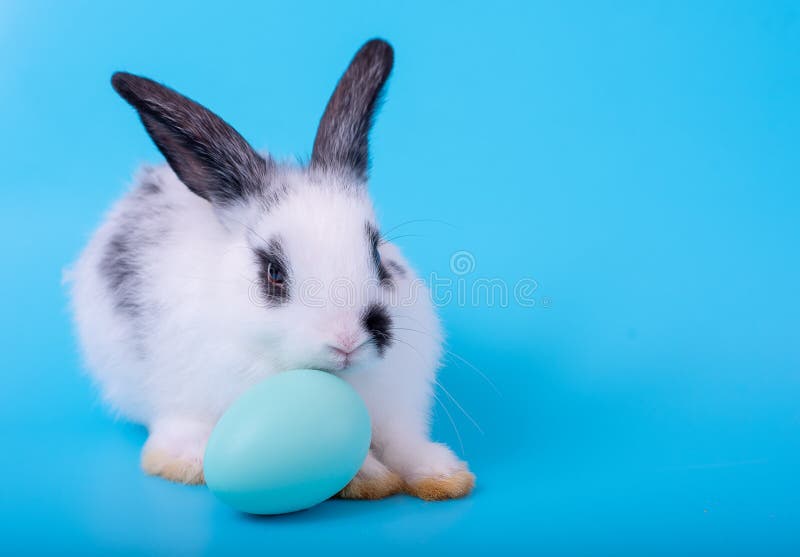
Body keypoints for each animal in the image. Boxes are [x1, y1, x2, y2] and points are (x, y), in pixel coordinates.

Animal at [68, 39, 474, 501]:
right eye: (274, 273)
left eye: (377, 256)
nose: (347, 340)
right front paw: (371, 479)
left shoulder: (397, 410)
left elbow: (405, 444)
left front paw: (444, 476)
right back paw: (186, 460)